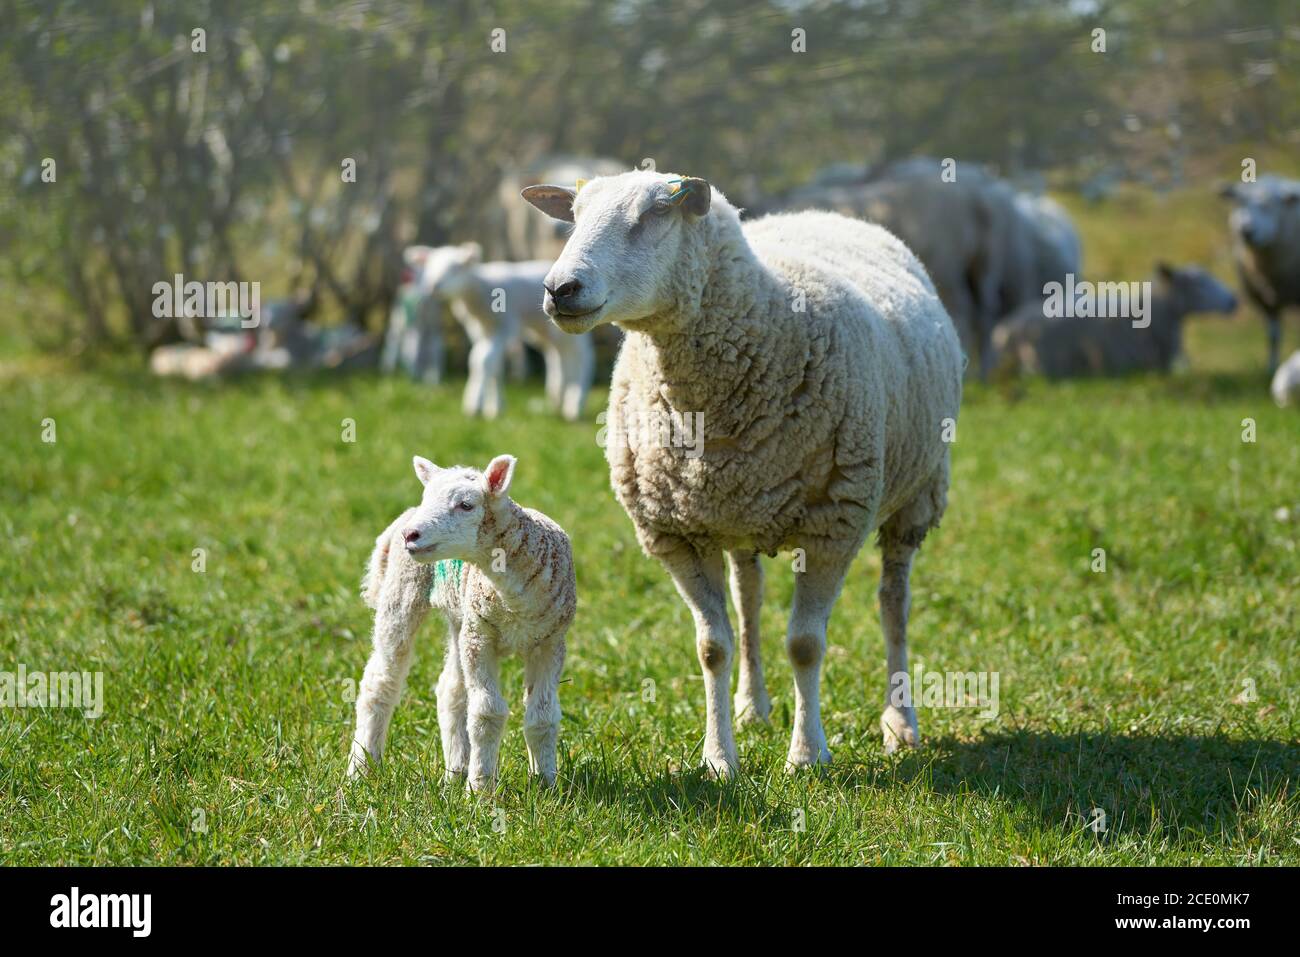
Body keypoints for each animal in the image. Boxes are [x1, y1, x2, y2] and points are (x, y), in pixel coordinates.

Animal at [347, 454, 576, 792]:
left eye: (466, 505)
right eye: (428, 497)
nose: (411, 536)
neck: (514, 600)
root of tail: (402, 518)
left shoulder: (549, 641)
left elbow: (543, 714)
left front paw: (546, 784)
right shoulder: (481, 635)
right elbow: (487, 712)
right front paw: (480, 789)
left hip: (461, 617)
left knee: (450, 689)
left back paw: (454, 771)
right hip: (404, 593)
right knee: (380, 681)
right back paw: (361, 769)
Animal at [523, 170, 963, 776]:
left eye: (654, 214)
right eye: (574, 217)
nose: (559, 289)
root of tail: (823, 212)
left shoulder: (834, 525)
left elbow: (806, 645)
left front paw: (807, 756)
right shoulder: (677, 534)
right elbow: (714, 648)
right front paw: (719, 758)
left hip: (918, 493)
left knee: (893, 604)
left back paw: (901, 722)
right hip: (736, 512)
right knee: (749, 596)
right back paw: (753, 706)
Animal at [1219, 175, 1300, 373]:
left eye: (1267, 205)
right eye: (1238, 202)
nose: (1245, 230)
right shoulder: (1265, 302)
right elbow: (1273, 336)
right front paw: (1271, 367)